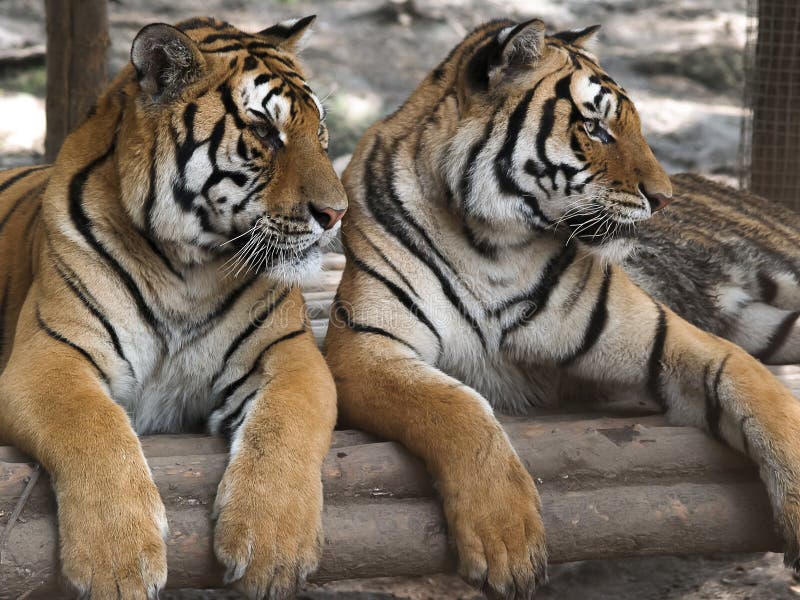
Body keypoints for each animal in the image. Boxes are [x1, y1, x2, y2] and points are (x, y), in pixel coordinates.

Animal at [0, 16, 346, 600]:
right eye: (265, 133)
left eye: (319, 132)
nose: (337, 214)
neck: (187, 268)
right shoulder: (48, 357)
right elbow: (95, 427)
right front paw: (117, 561)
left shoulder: (291, 355)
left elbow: (285, 426)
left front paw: (272, 547)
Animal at [325, 17, 800, 599]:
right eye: (596, 130)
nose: (663, 199)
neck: (489, 244)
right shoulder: (365, 347)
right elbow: (455, 406)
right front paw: (505, 538)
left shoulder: (670, 337)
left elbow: (760, 393)